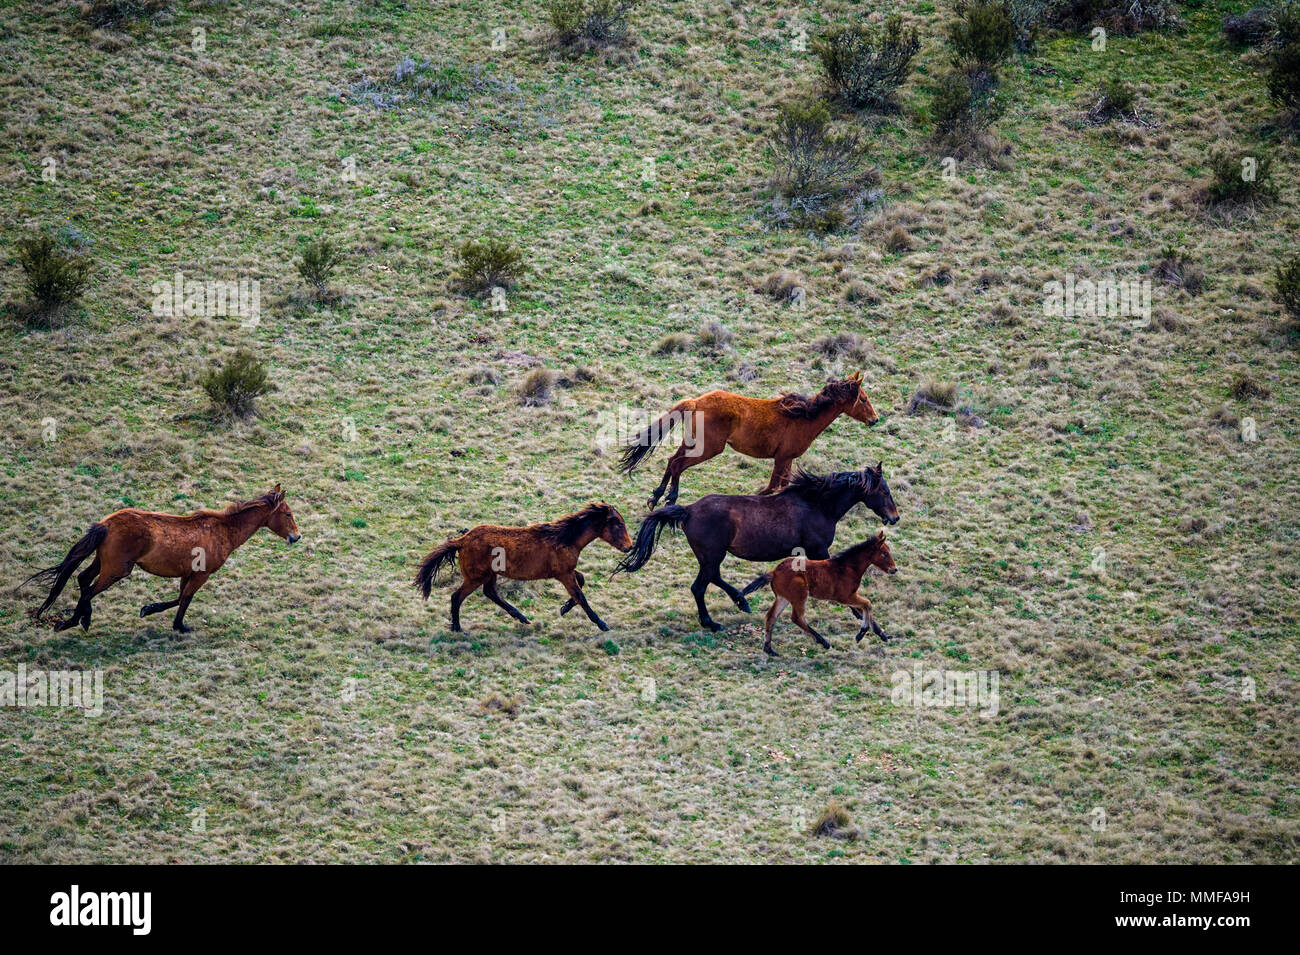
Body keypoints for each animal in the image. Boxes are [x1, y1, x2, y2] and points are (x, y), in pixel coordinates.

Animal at [20, 484, 301, 634]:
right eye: (287, 514)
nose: (296, 537)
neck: (223, 530)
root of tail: (106, 524)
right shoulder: (201, 574)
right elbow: (185, 599)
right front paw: (178, 625)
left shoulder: (189, 573)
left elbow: (179, 598)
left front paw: (150, 610)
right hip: (116, 570)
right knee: (89, 590)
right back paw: (74, 621)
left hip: (102, 562)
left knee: (81, 579)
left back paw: (79, 619)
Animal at [414, 502, 633, 633]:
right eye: (619, 524)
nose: (629, 546)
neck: (565, 538)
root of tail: (462, 541)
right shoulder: (563, 574)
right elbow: (581, 596)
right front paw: (602, 624)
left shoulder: (566, 572)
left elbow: (581, 581)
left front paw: (564, 608)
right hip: (475, 577)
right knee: (457, 597)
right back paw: (458, 628)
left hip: (489, 575)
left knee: (490, 593)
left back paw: (521, 617)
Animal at [613, 464, 899, 632]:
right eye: (884, 491)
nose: (894, 517)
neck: (817, 505)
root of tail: (688, 510)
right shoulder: (818, 550)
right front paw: (863, 618)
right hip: (712, 555)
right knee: (699, 587)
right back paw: (713, 622)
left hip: (710, 557)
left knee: (711, 579)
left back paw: (741, 601)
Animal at [618, 372, 881, 509]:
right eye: (863, 399)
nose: (875, 419)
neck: (804, 417)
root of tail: (696, 401)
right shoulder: (783, 459)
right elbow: (772, 488)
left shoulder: (786, 461)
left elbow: (781, 486)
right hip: (708, 449)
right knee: (678, 465)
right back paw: (669, 500)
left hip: (693, 444)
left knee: (673, 461)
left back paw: (656, 496)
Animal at [741, 531, 898, 656]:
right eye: (884, 553)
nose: (894, 569)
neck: (847, 567)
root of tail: (774, 572)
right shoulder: (845, 597)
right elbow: (867, 604)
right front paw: (861, 633)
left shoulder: (851, 596)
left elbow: (864, 609)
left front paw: (882, 635)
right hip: (800, 595)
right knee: (797, 618)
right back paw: (823, 642)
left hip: (783, 598)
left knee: (771, 617)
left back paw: (769, 649)